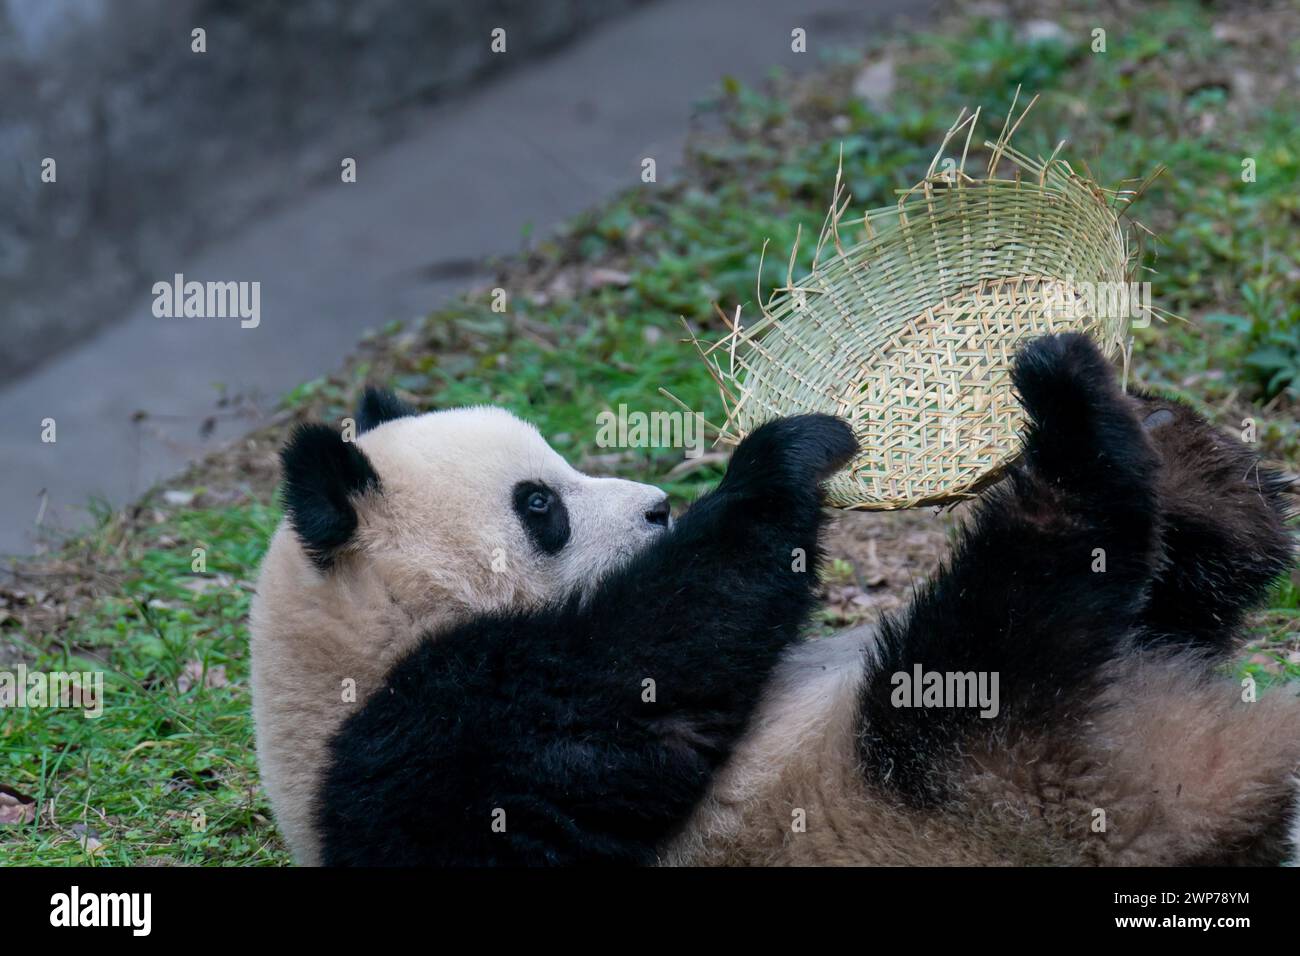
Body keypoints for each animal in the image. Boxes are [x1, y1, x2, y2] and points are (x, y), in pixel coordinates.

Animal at [249, 333, 1300, 866]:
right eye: (539, 505)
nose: (658, 506)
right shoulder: (430, 744)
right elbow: (648, 682)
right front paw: (788, 453)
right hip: (973, 788)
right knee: (1004, 630)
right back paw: (1075, 425)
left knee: (1181, 595)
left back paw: (1186, 459)